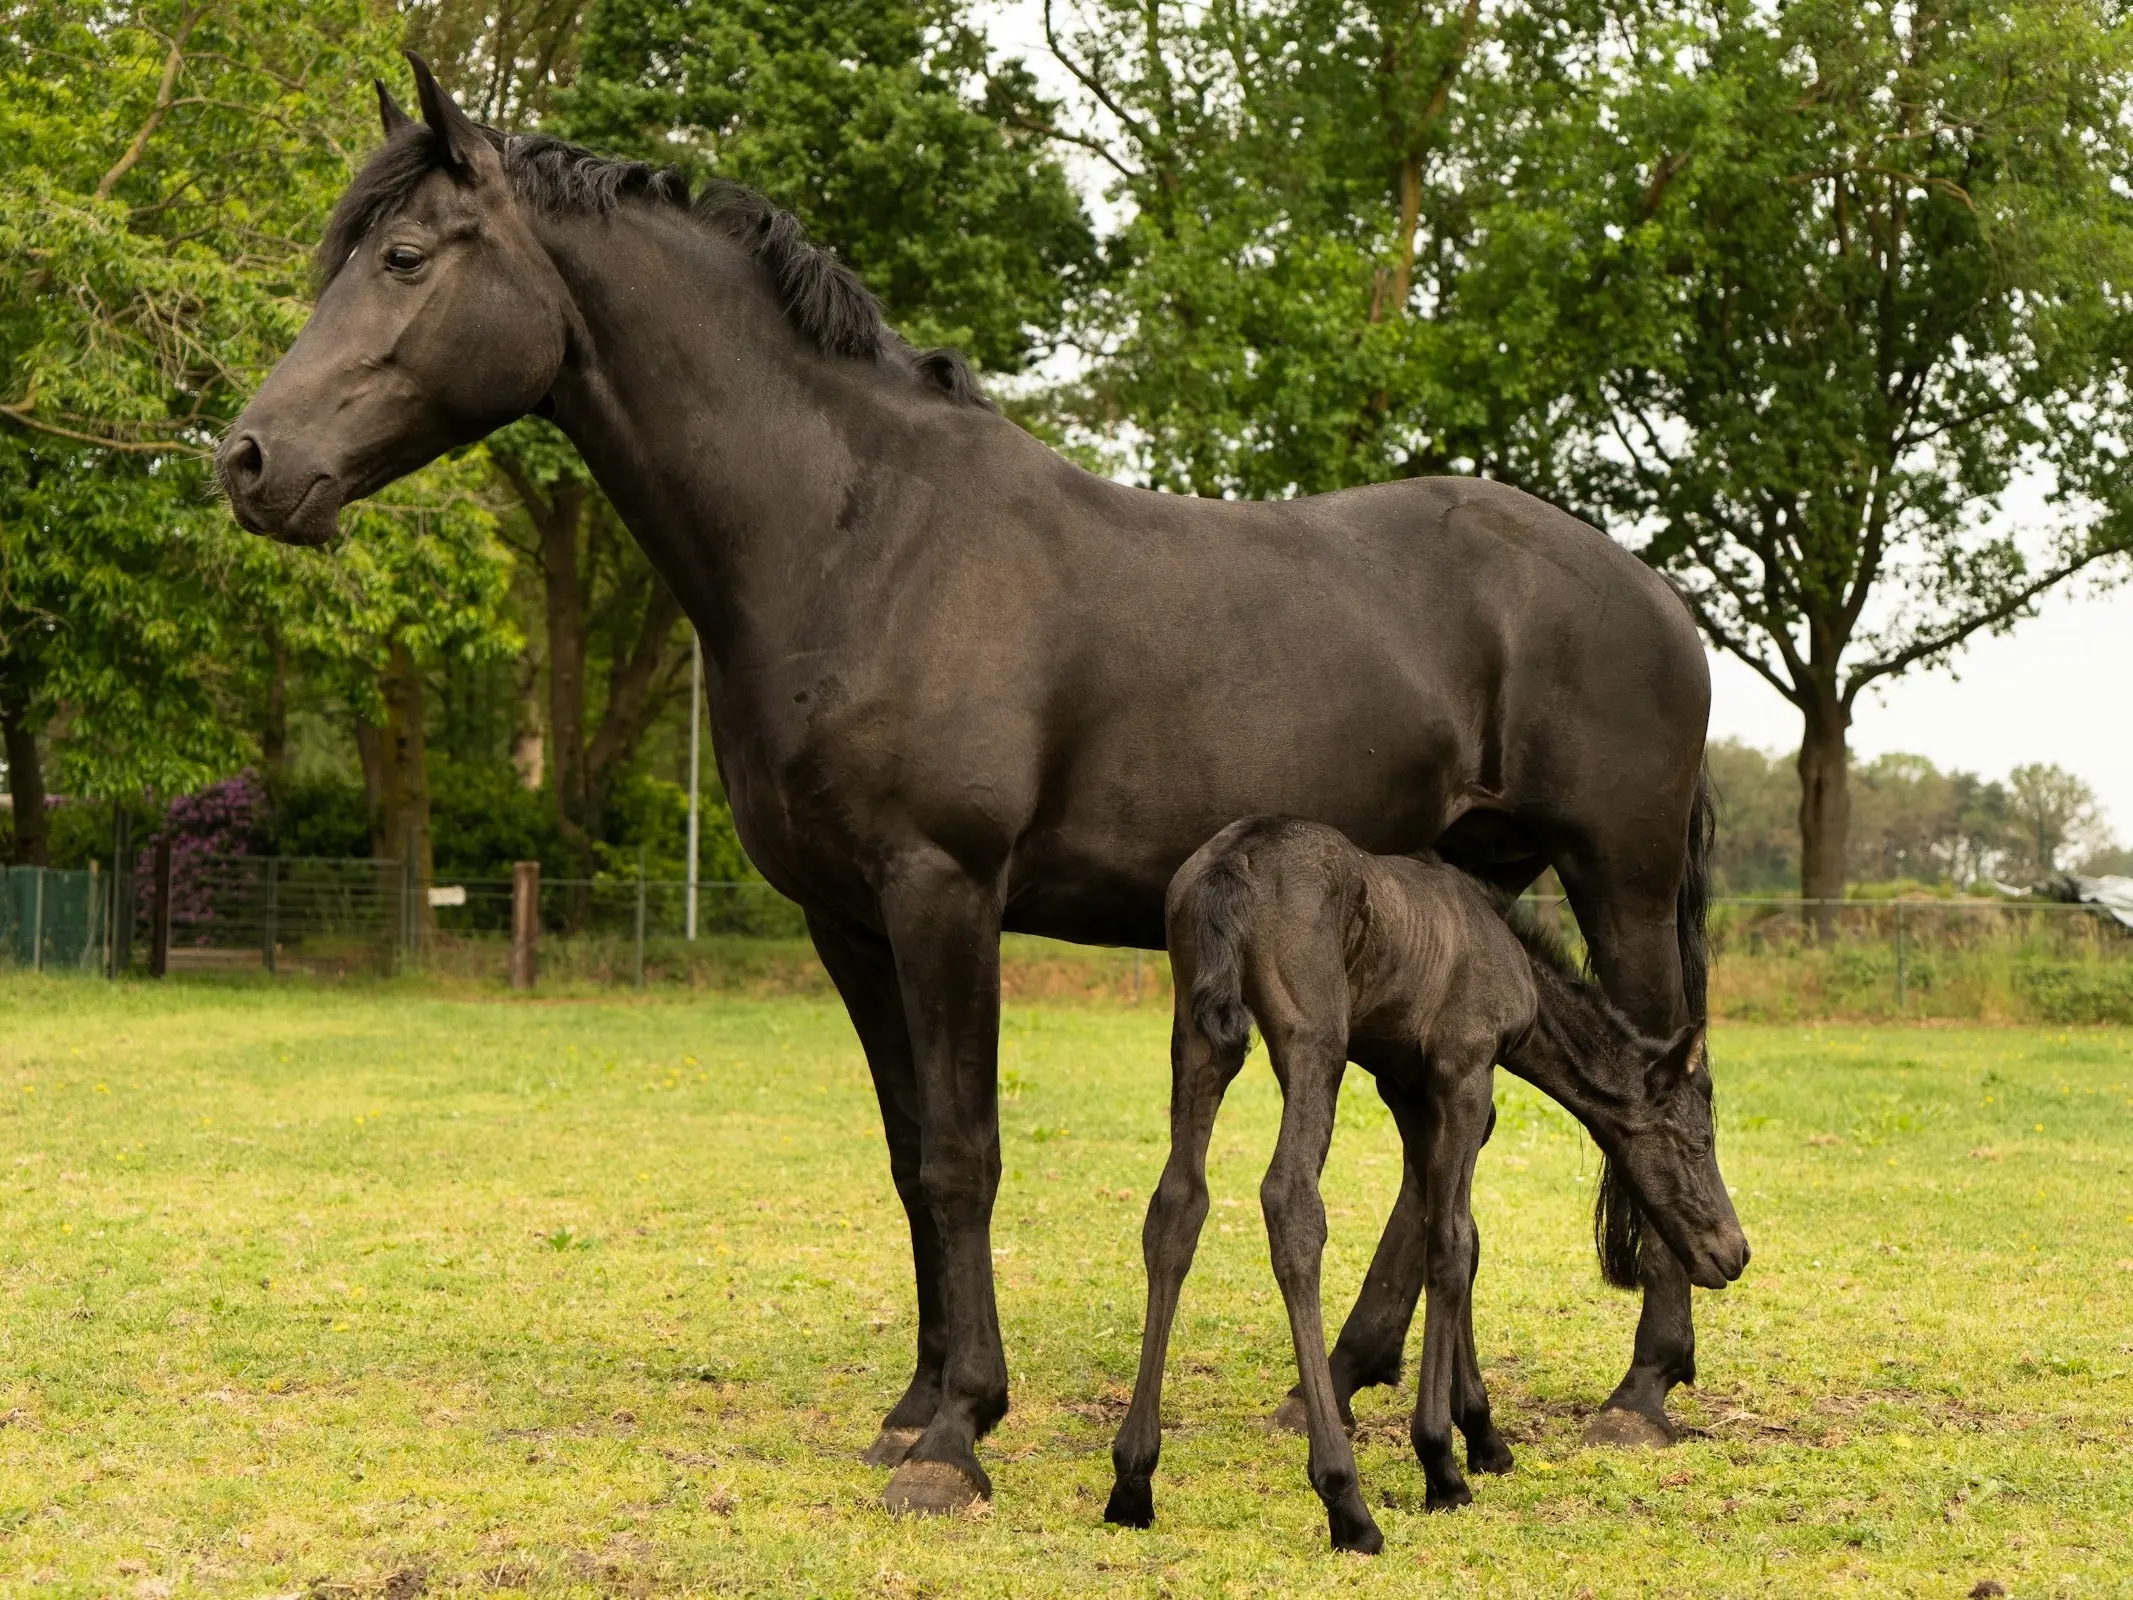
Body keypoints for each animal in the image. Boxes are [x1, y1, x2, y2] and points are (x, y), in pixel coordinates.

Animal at [1104, 818, 1747, 1552]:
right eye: (1695, 1142)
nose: (1733, 1252)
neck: (1506, 953)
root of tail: (1230, 863)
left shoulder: (1408, 1089)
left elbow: (1449, 1229)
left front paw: (1482, 1435)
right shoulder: (1464, 1070)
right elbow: (1453, 1241)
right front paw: (1440, 1461)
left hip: (1196, 1039)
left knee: (1176, 1205)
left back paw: (1132, 1479)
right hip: (1312, 1043)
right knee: (1291, 1203)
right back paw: (1347, 1502)